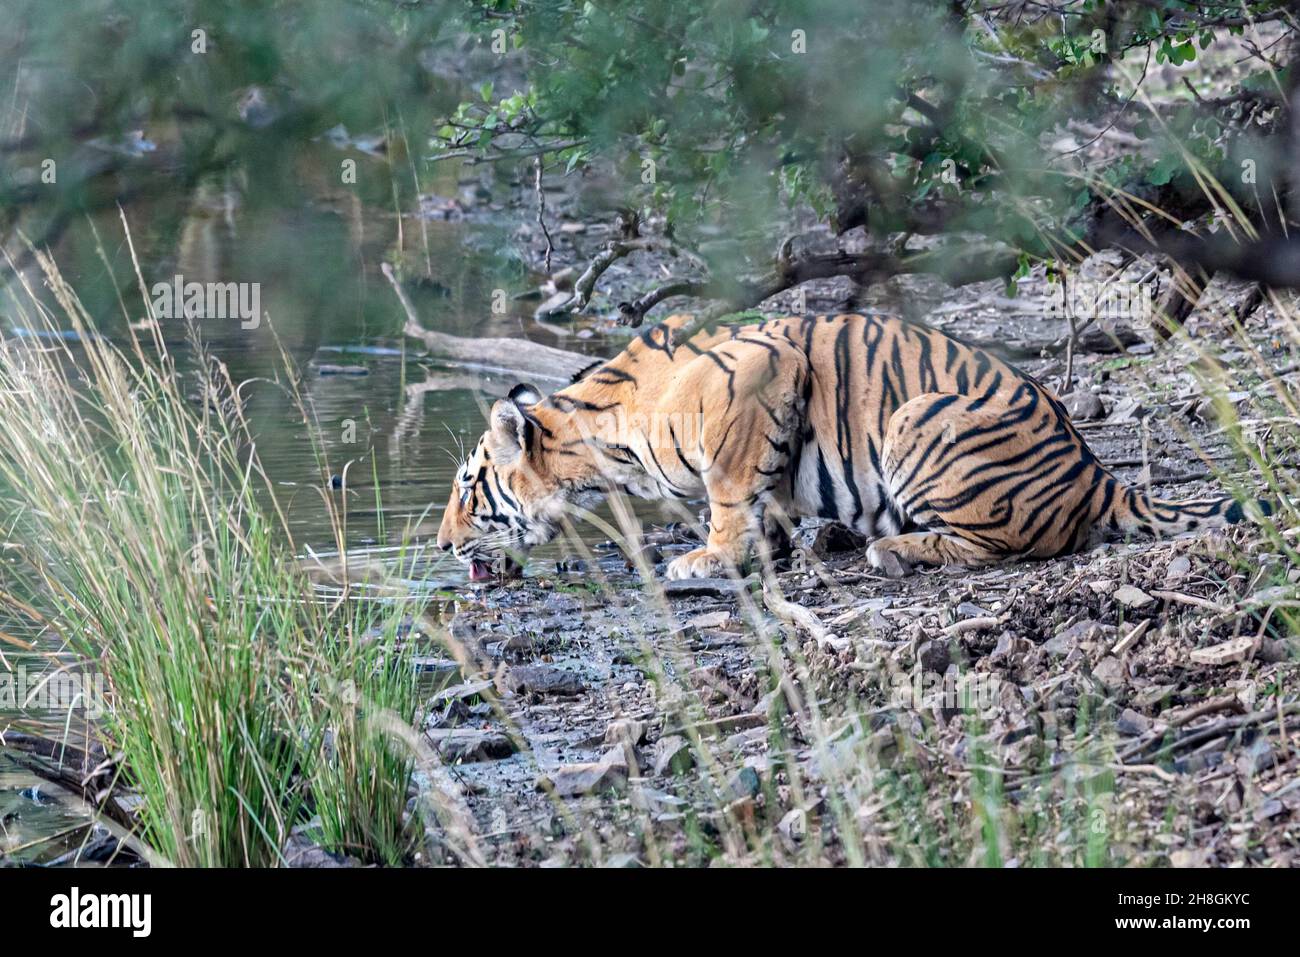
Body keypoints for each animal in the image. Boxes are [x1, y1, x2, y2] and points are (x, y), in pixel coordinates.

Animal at [436, 312, 1268, 582]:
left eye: (469, 487)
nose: (439, 544)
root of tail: (1095, 468)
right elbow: (762, 493)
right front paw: (768, 546)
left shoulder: (761, 373)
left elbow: (729, 491)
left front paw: (709, 556)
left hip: (920, 421)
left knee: (1004, 545)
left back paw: (892, 549)